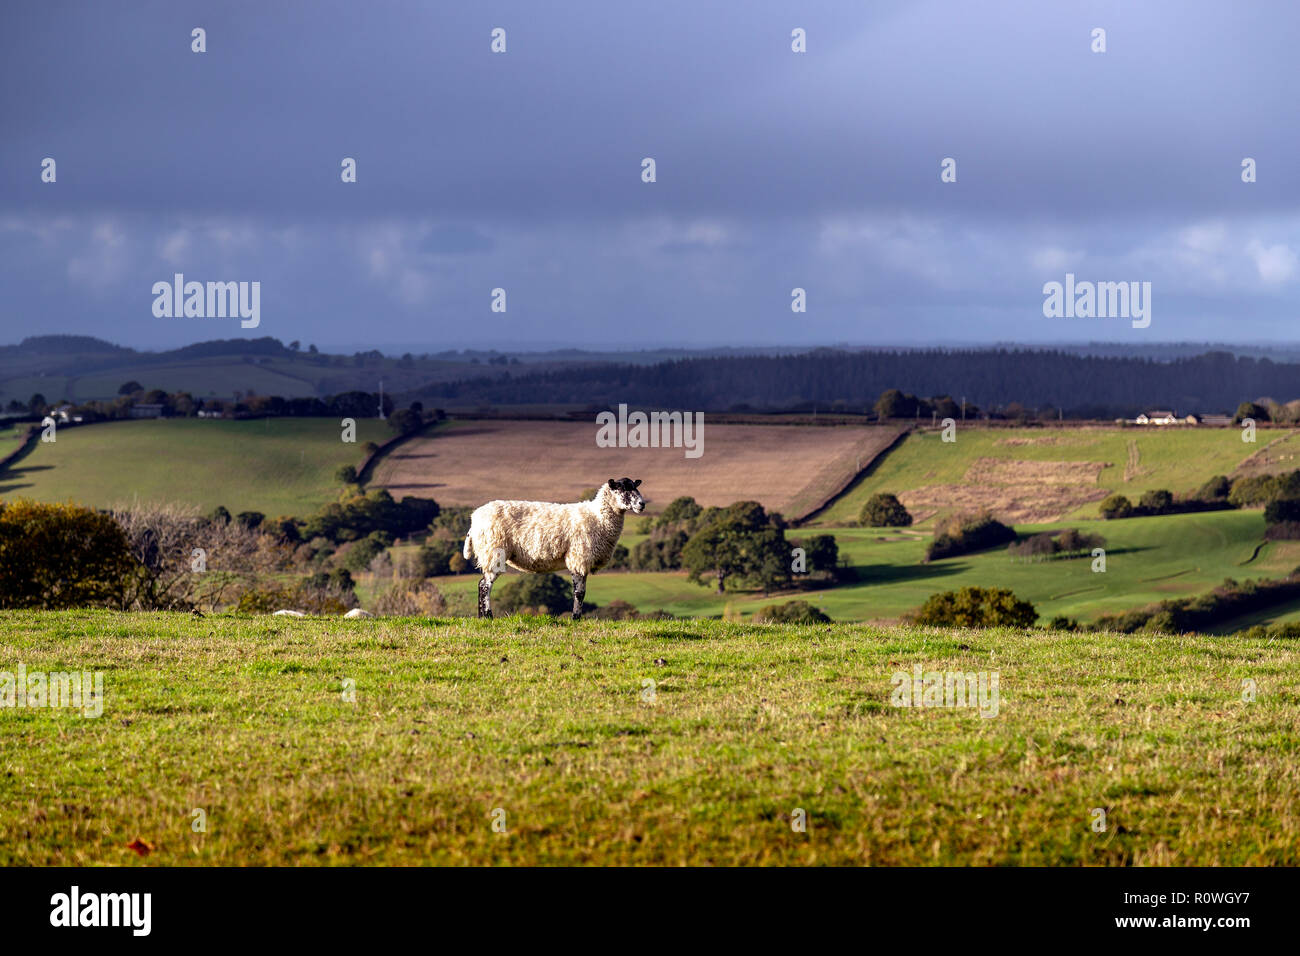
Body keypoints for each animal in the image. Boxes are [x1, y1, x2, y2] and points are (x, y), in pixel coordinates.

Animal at [463, 477, 645, 620]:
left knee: (481, 584)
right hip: (494, 551)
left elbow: (581, 592)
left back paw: (481, 617)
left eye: (635, 487)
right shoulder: (578, 558)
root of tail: (474, 519)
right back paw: (488, 615)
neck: (597, 516)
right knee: (485, 585)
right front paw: (575, 618)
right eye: (623, 489)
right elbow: (579, 593)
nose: (642, 504)